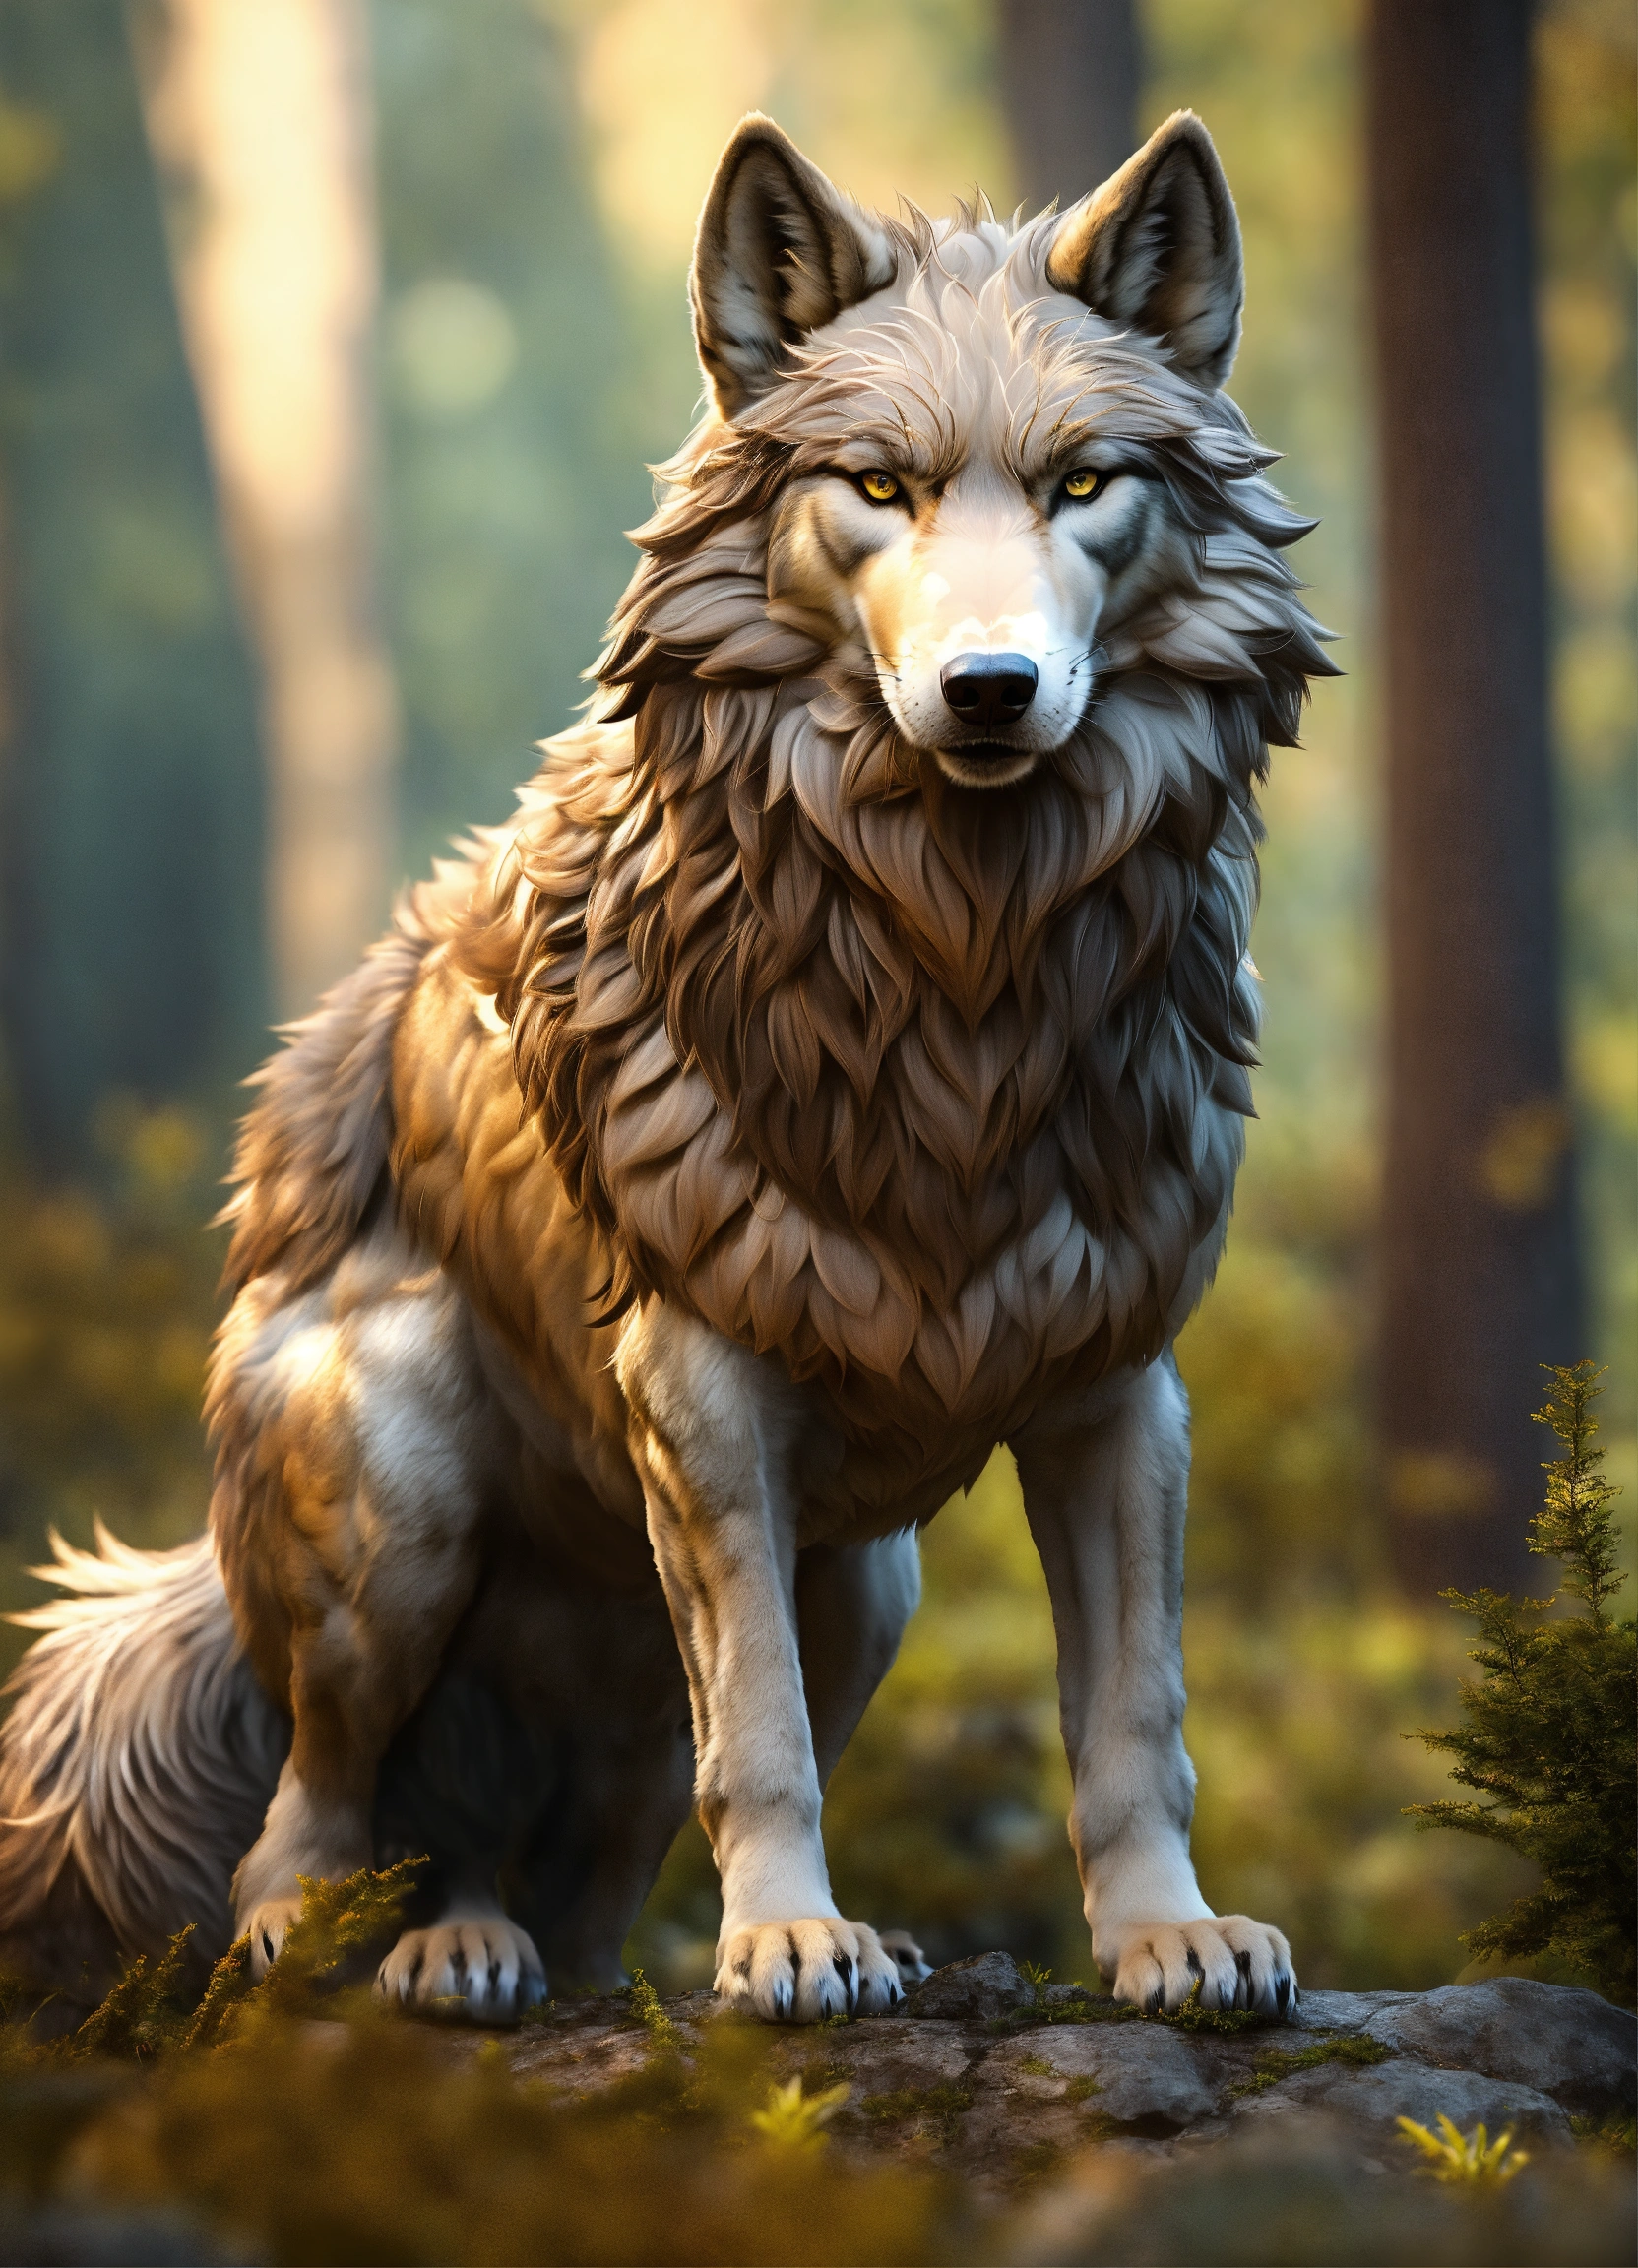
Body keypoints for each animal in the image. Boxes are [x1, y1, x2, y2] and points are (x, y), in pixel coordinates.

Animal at [1, 110, 1332, 2027]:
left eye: (1083, 485)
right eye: (879, 487)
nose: (989, 689)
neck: (960, 977)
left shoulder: (1113, 1382)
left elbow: (1131, 1717)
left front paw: (1170, 1935)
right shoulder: (699, 1380)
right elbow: (755, 1735)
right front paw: (787, 1942)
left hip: (873, 1583)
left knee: (573, 1899)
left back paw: (535, 1946)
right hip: (391, 1479)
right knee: (315, 1812)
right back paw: (364, 1947)